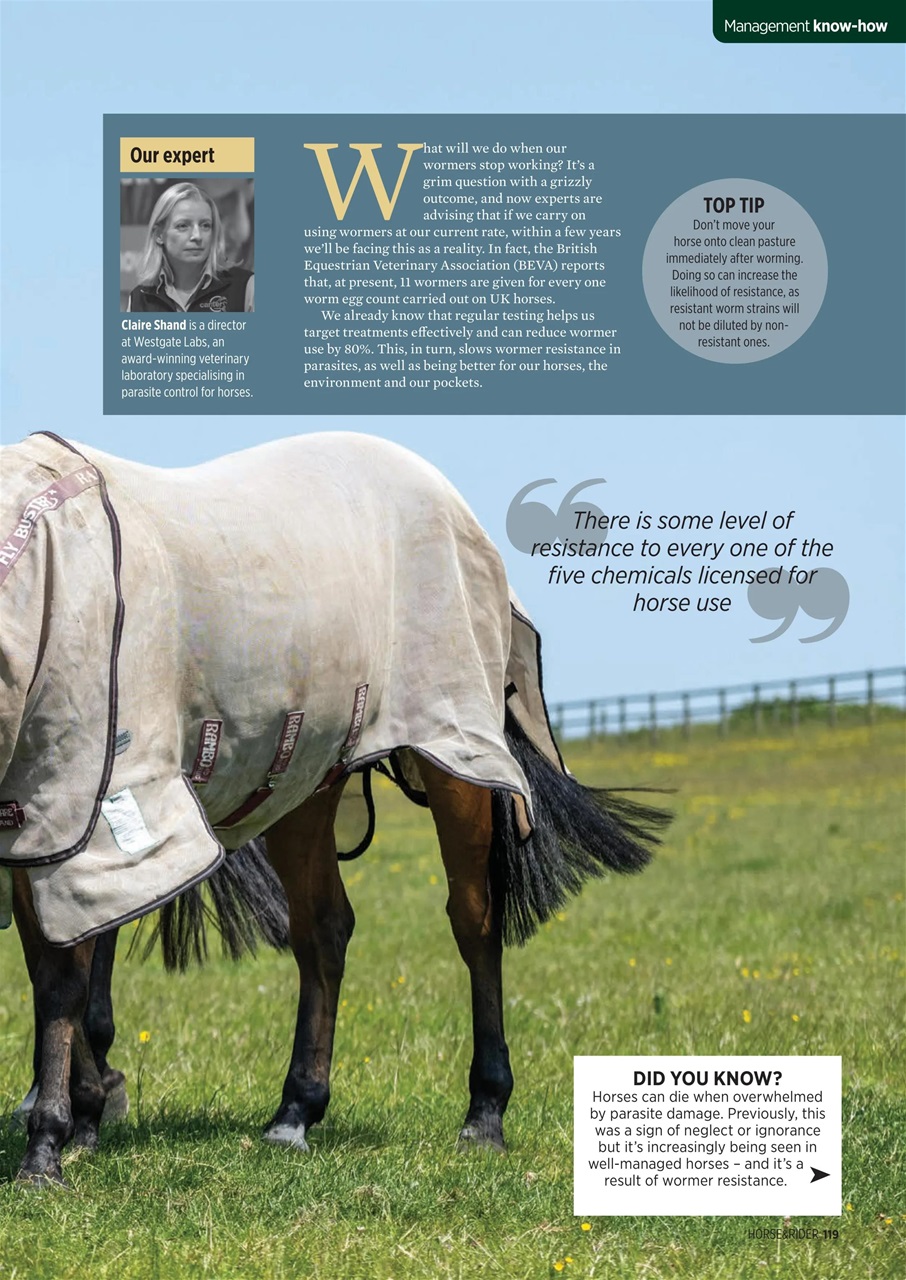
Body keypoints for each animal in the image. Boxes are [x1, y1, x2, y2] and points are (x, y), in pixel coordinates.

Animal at [0, 430, 668, 1185]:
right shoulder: (41, 821)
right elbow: (54, 963)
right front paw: (78, 1115)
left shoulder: (82, 803)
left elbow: (62, 976)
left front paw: (49, 1146)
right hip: (307, 783)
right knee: (324, 929)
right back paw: (295, 1111)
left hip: (453, 755)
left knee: (474, 920)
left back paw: (484, 1114)